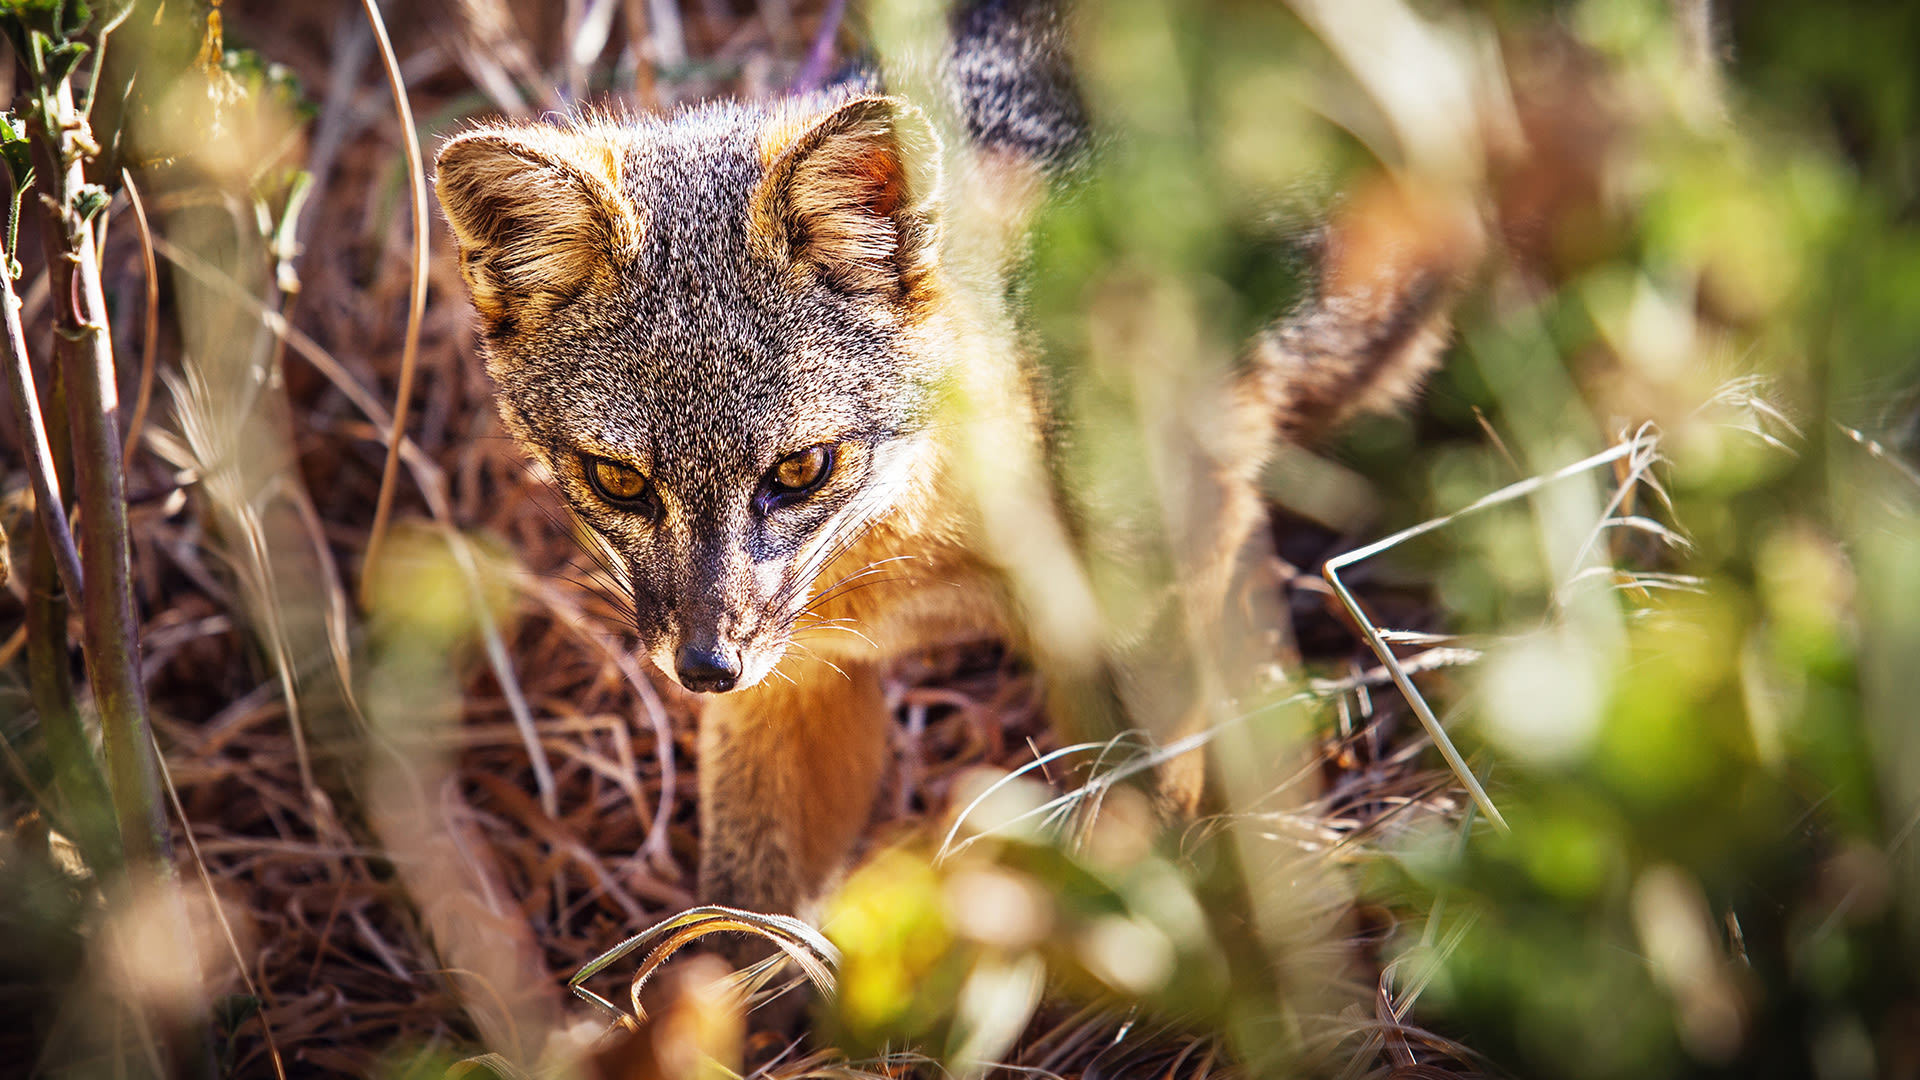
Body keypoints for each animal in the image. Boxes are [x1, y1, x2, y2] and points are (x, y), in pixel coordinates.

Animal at [433, 0, 1475, 922]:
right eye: (618, 479)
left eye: (802, 470)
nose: (705, 668)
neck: (924, 566)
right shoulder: (801, 682)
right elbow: (737, 928)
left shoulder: (1146, 624)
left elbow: (1137, 854)